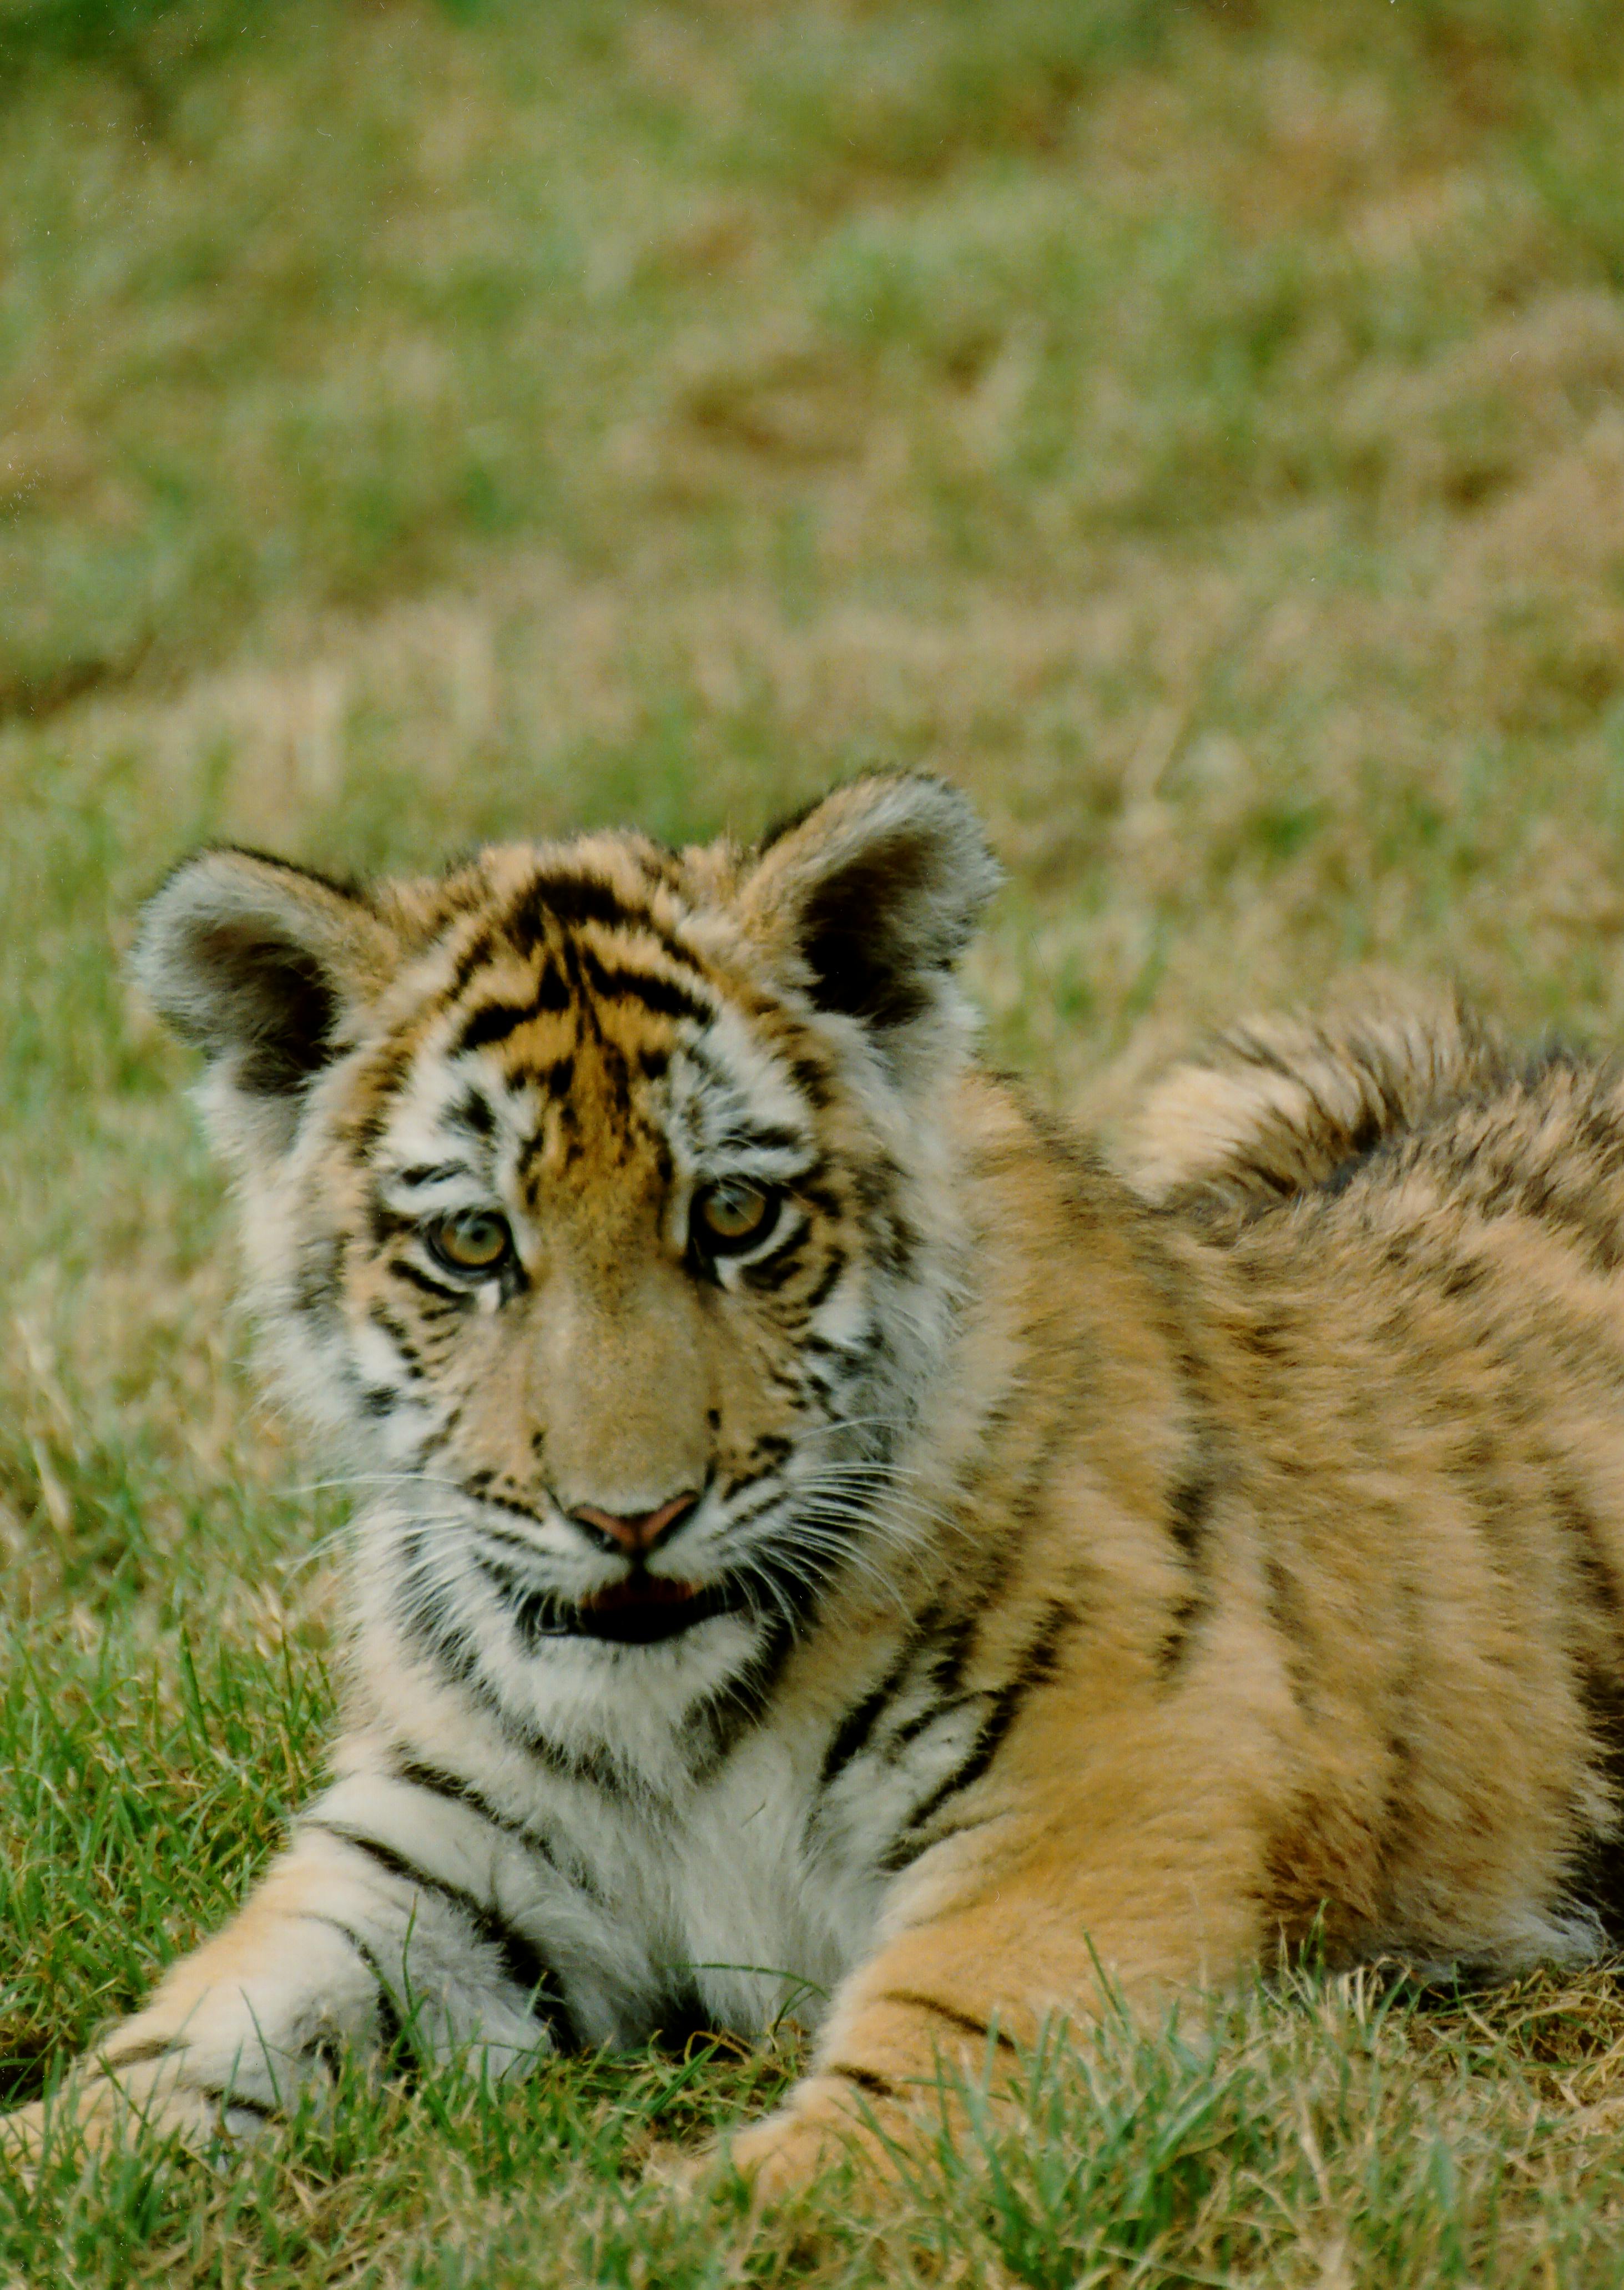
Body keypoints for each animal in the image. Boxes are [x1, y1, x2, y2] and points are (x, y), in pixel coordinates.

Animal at [9, 769, 1624, 2204]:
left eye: (734, 1213)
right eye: (473, 1242)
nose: (631, 1518)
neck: (677, 1720)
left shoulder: (1098, 1819)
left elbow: (870, 2114)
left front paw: (658, 2222)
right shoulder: (426, 1866)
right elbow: (183, 2042)